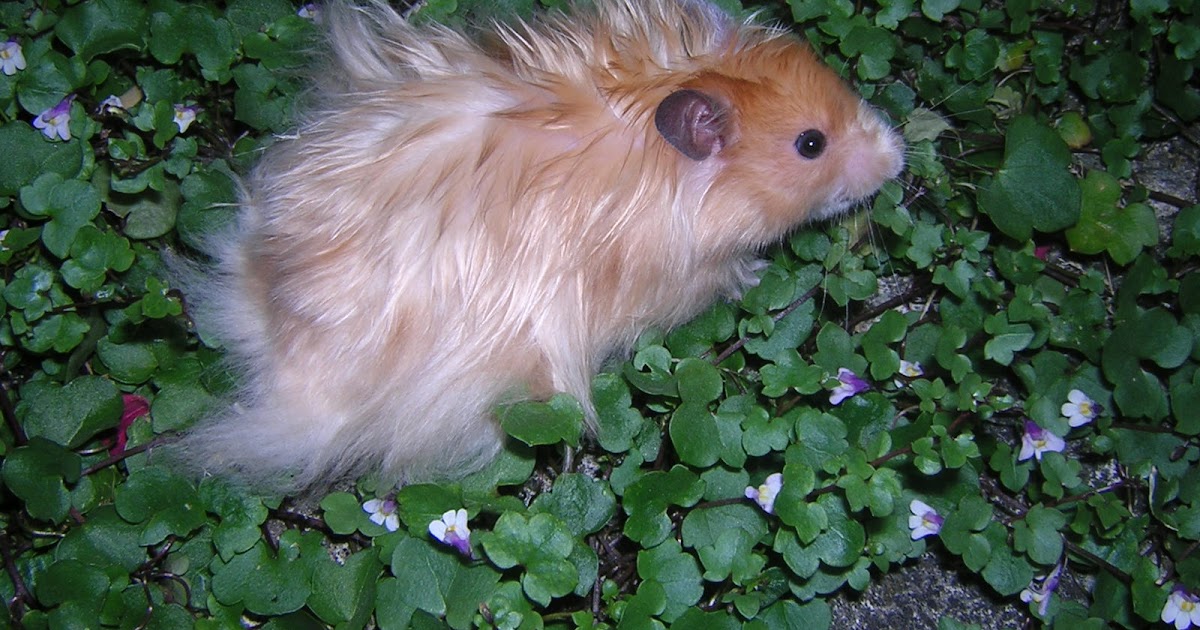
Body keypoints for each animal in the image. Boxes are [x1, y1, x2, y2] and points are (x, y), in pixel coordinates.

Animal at [176, 0, 905, 492]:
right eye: (810, 144)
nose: (897, 159)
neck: (676, 179)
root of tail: (272, 335)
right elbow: (724, 275)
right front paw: (752, 275)